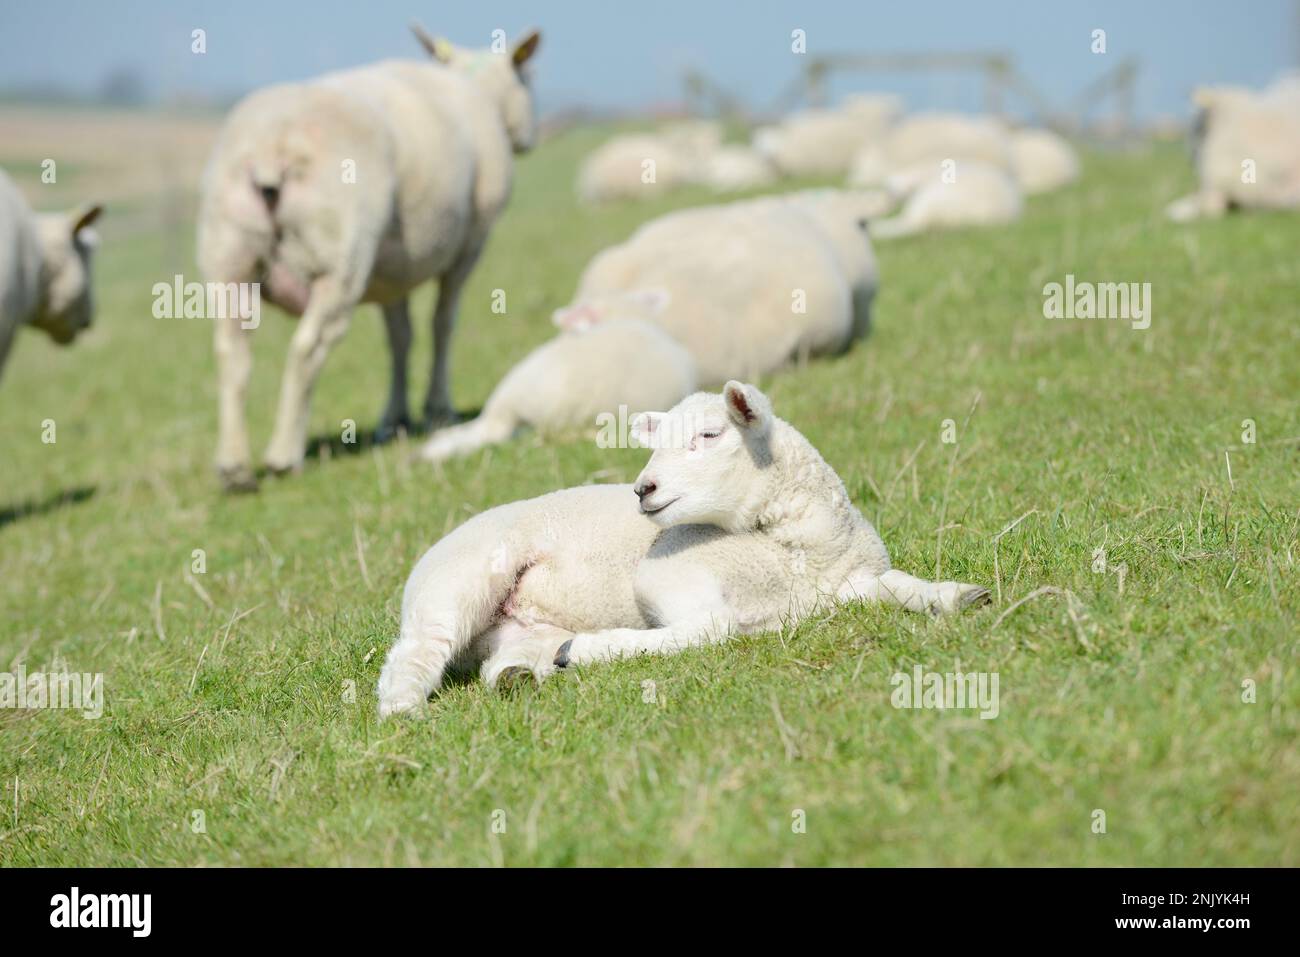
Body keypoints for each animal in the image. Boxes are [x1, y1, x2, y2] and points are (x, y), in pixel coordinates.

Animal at [196, 26, 542, 491]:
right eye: (528, 80)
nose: (530, 138)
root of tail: (273, 142)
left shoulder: (392, 270)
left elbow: (400, 337)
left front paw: (394, 419)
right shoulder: (469, 245)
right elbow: (442, 324)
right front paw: (437, 410)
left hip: (228, 253)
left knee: (231, 351)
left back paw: (234, 468)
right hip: (340, 255)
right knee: (307, 347)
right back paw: (284, 455)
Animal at [377, 381, 989, 715]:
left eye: (710, 436)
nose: (643, 488)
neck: (790, 553)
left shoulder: (852, 580)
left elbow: (900, 584)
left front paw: (959, 596)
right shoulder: (665, 576)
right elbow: (710, 630)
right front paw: (593, 650)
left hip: (516, 626)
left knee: (500, 660)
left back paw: (519, 676)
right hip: (457, 582)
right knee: (419, 649)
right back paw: (402, 707)